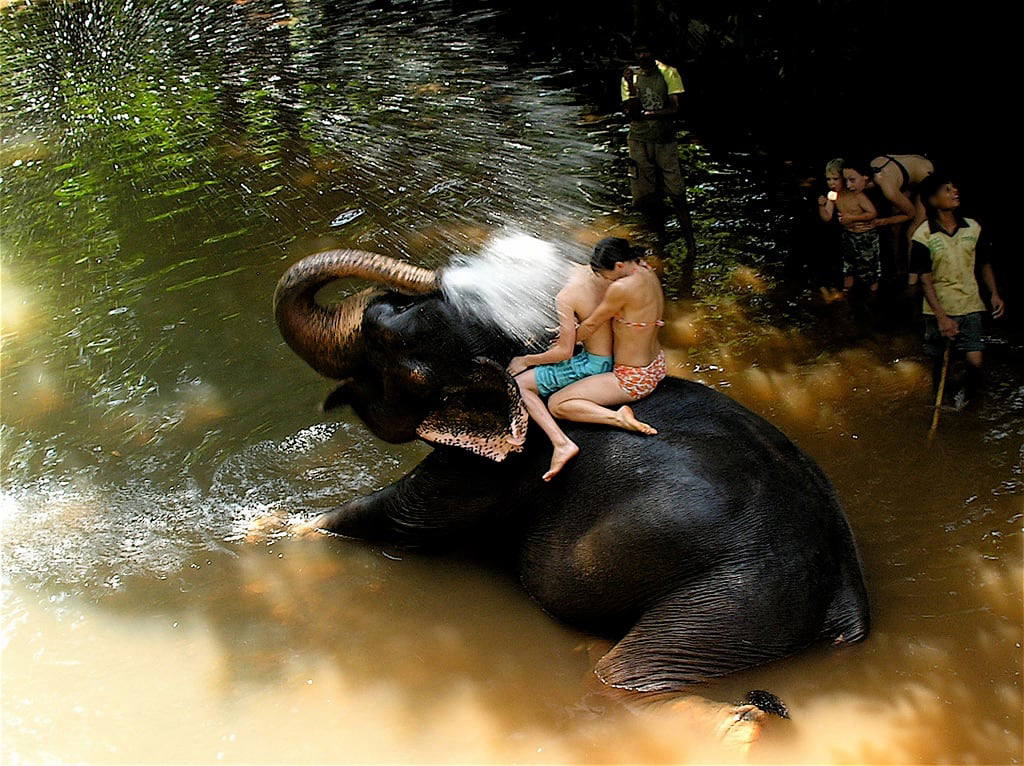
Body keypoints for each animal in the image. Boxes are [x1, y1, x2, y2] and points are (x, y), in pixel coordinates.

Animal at [274, 248, 870, 697]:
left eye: (388, 342)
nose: (438, 274)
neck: (520, 349)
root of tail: (845, 604)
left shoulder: (489, 476)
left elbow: (397, 518)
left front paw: (275, 529)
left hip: (736, 605)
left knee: (627, 677)